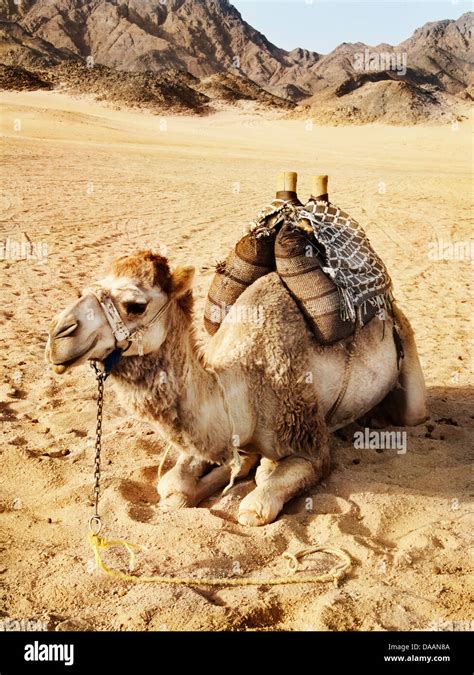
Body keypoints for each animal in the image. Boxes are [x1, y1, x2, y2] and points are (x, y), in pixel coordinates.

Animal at [45, 249, 427, 526]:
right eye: (85, 289)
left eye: (135, 305)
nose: (58, 335)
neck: (245, 384)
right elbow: (174, 489)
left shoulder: (310, 441)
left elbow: (255, 505)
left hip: (408, 353)